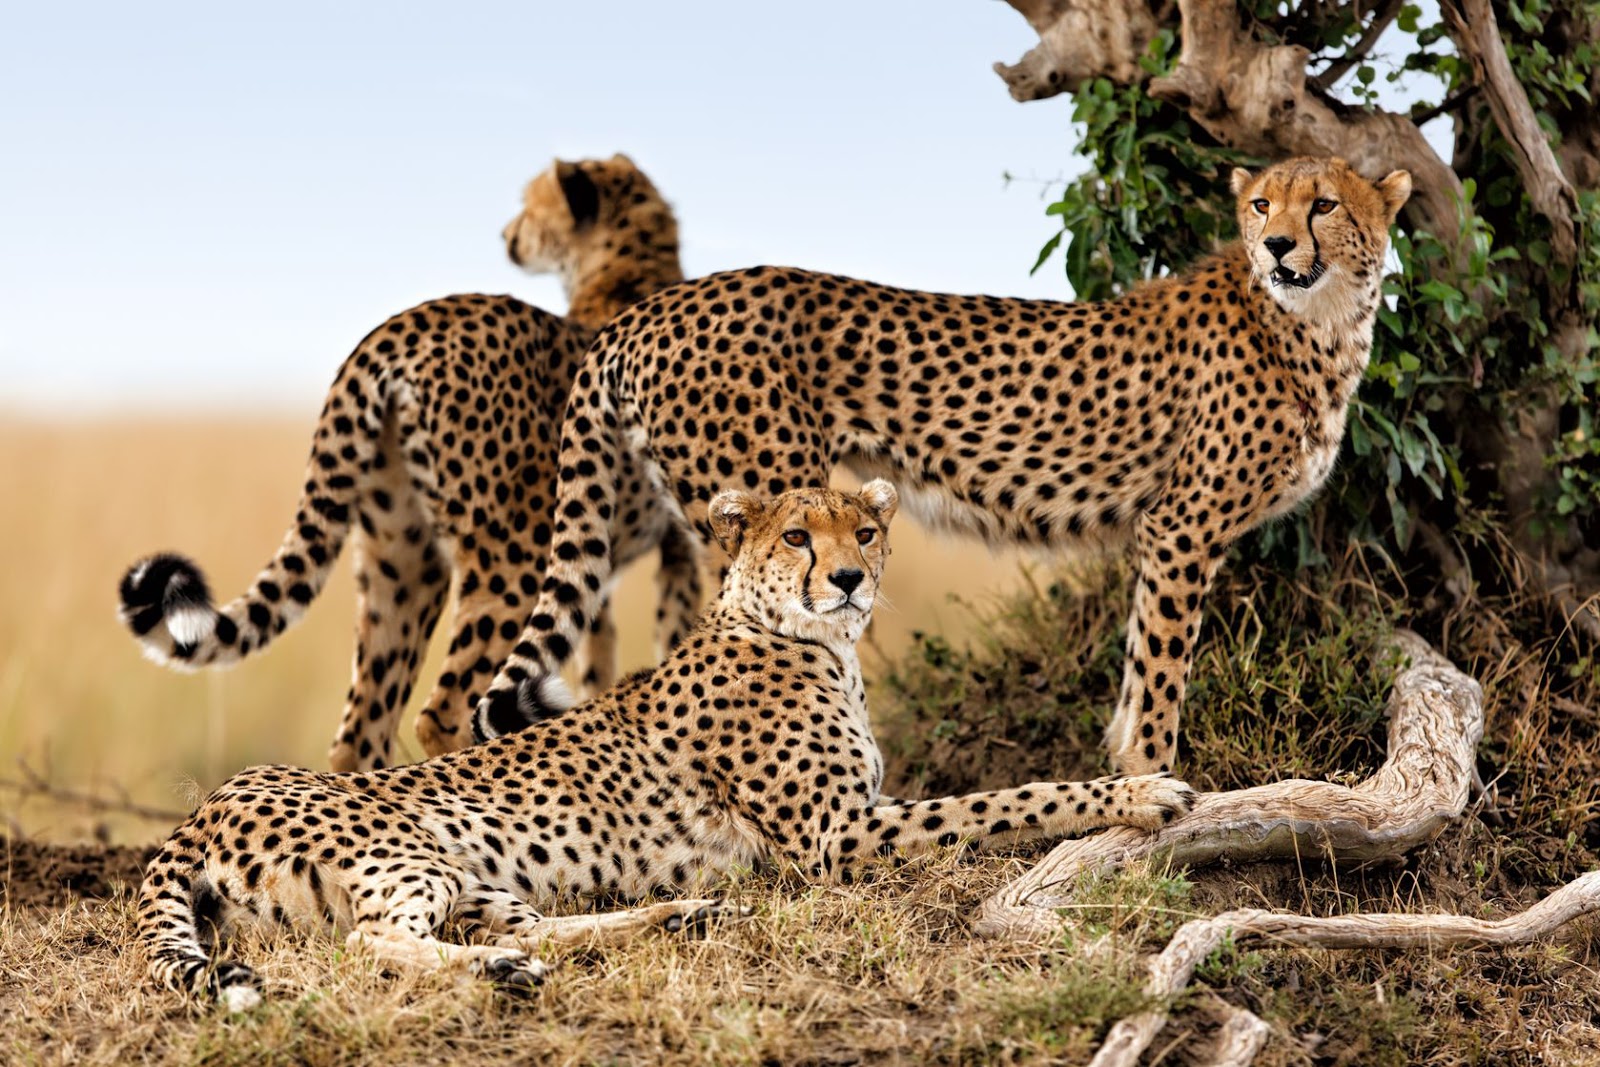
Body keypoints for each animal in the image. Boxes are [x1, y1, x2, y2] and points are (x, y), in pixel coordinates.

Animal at [117, 153, 702, 772]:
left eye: (529, 206)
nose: (506, 234)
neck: (623, 267)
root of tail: (400, 325)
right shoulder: (672, 546)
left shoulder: (598, 571)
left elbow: (601, 660)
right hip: (508, 562)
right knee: (444, 711)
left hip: (400, 563)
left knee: (361, 728)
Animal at [136, 481, 1195, 1009]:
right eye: (798, 537)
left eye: (863, 529)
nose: (849, 577)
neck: (808, 640)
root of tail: (210, 800)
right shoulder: (835, 840)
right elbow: (1007, 798)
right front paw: (1143, 792)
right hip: (412, 852)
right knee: (373, 943)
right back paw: (505, 973)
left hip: (472, 872)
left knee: (522, 925)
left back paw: (675, 916)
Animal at [470, 156, 1414, 777]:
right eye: (1260, 204)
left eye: (1325, 204)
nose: (1280, 245)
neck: (1315, 321)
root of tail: (659, 304)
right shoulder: (1183, 525)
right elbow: (1161, 666)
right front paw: (1150, 784)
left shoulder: (1165, 533)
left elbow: (1138, 662)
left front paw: (1122, 764)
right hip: (769, 507)